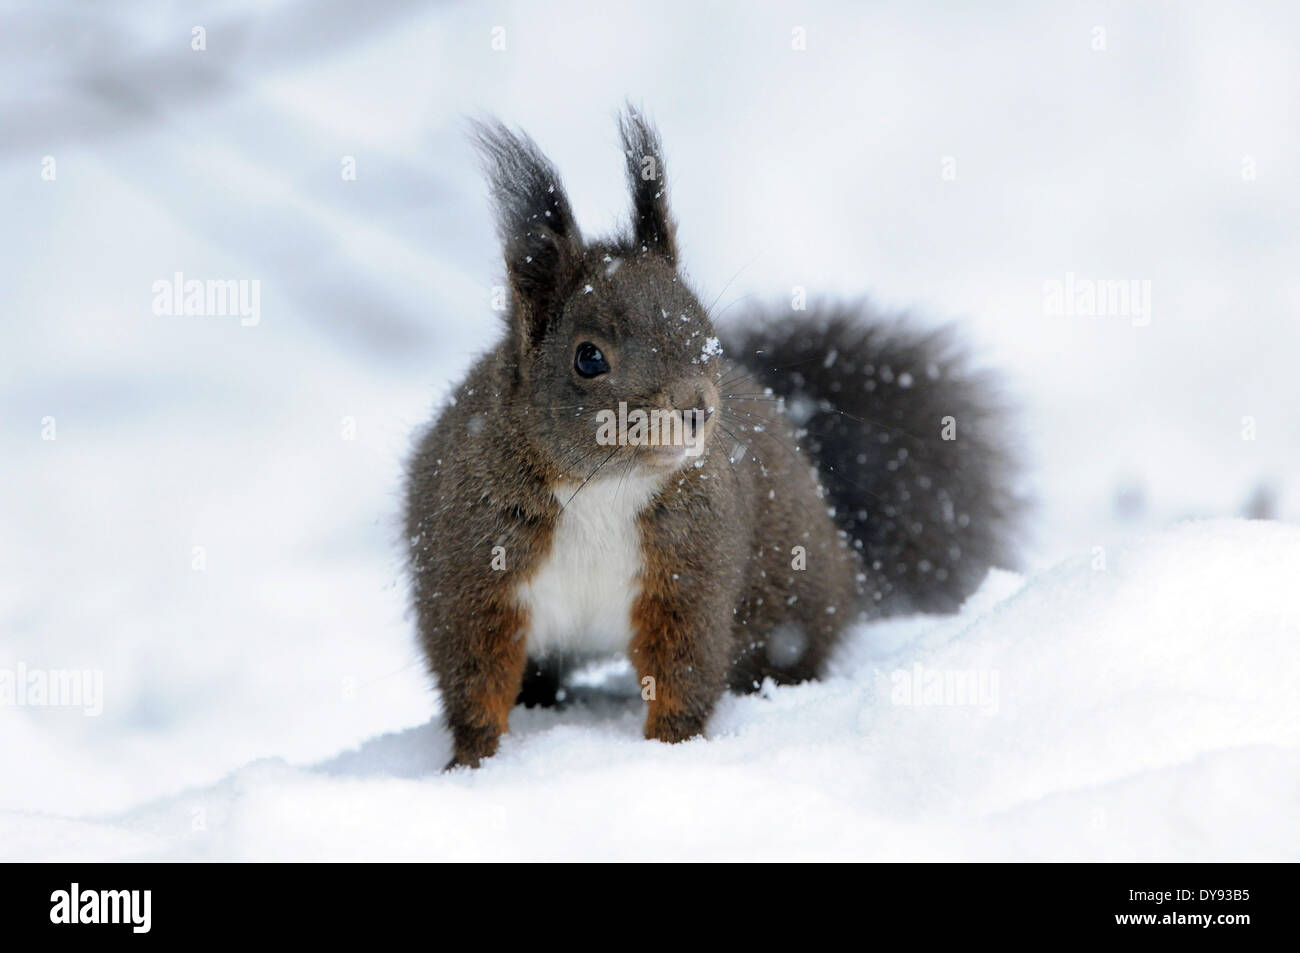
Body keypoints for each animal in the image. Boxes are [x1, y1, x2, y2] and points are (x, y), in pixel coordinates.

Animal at [405, 107, 1019, 768]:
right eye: (588, 358)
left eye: (707, 335)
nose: (696, 408)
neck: (603, 488)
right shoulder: (472, 565)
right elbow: (474, 673)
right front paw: (473, 763)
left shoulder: (689, 564)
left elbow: (687, 663)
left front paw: (671, 750)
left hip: (792, 600)